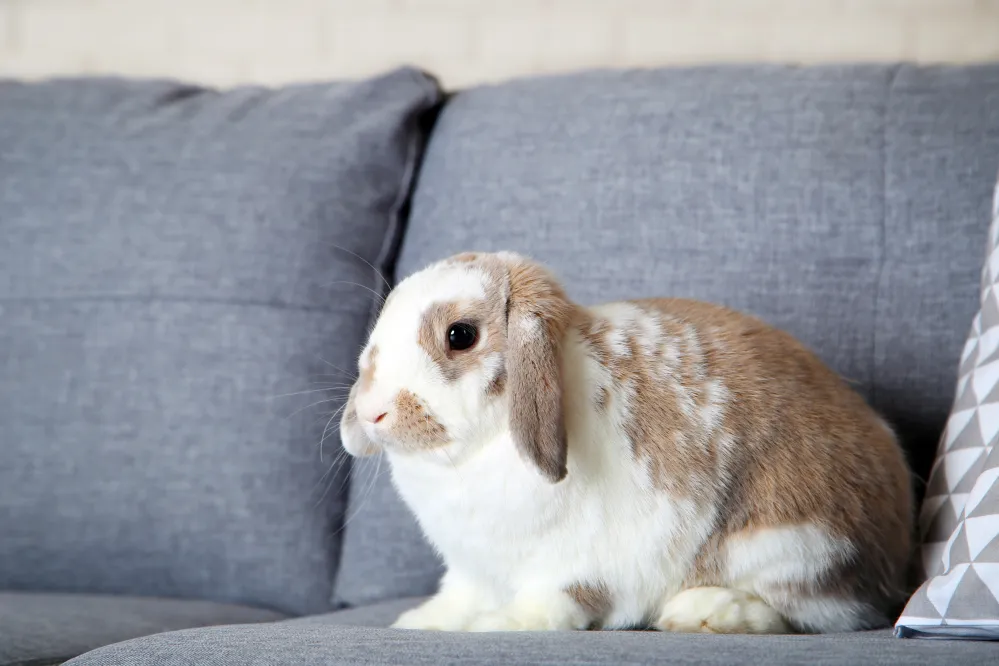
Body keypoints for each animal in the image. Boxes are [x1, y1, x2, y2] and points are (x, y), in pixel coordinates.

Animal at [339, 251, 913, 634]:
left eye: (460, 335)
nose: (371, 412)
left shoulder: (574, 562)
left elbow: (555, 601)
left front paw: (500, 624)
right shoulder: (470, 568)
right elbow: (457, 596)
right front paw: (422, 621)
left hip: (786, 542)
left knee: (809, 615)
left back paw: (703, 615)